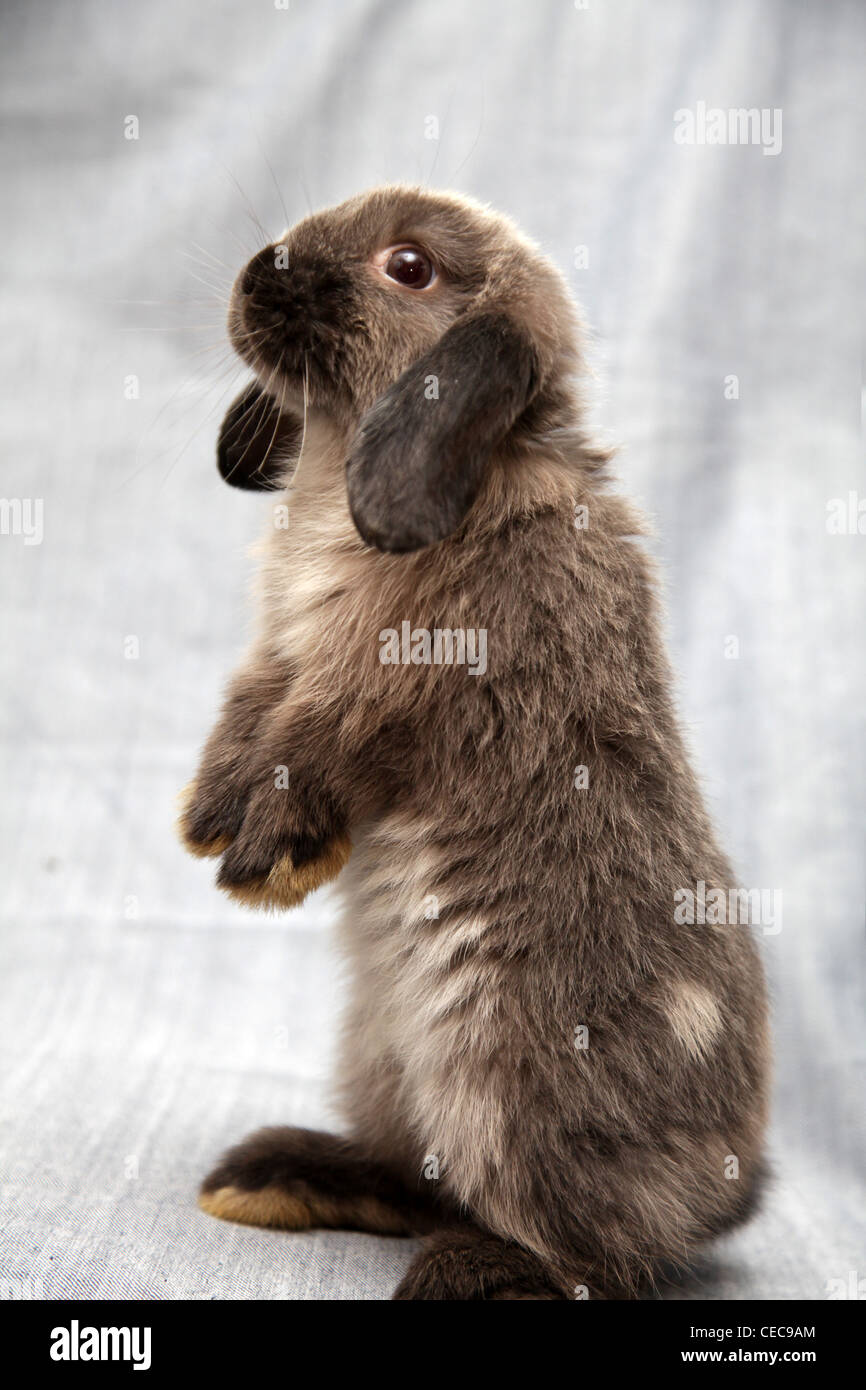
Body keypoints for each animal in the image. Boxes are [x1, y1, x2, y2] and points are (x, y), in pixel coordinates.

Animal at [180, 185, 770, 1300]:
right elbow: (249, 714)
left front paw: (265, 860)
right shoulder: (281, 651)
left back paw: (468, 1270)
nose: (253, 274)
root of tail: (722, 1188)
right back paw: (274, 1176)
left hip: (506, 1079)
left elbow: (314, 742)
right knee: (417, 1176)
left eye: (408, 266)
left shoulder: (396, 685)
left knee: (578, 1248)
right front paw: (204, 820)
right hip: (382, 1055)